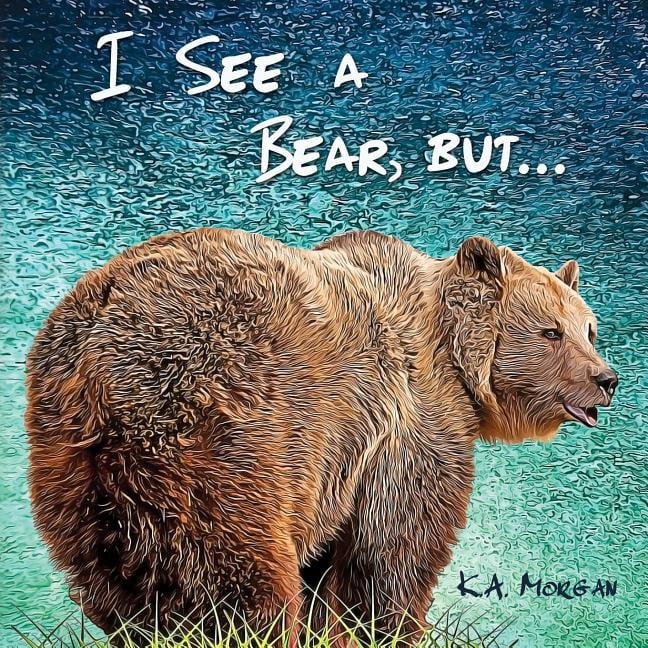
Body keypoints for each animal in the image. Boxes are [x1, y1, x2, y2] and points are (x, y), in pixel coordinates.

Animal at [25, 228, 618, 644]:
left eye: (589, 329)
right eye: (550, 331)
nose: (606, 379)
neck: (455, 361)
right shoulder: (406, 421)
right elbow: (392, 548)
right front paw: (388, 629)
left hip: (75, 456)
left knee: (119, 570)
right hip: (223, 417)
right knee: (238, 567)